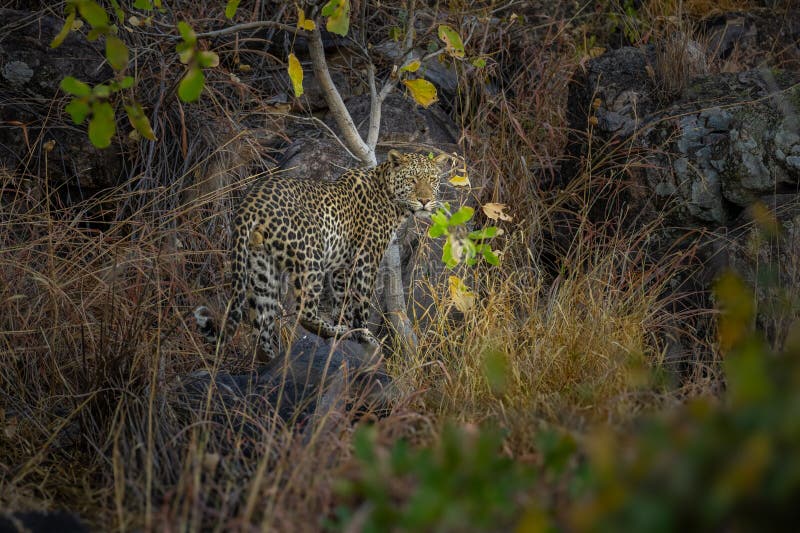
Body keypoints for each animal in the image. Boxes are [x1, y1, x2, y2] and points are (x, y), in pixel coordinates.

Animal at [194, 150, 444, 360]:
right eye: (412, 180)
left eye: (432, 180)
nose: (425, 200)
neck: (391, 200)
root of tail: (250, 202)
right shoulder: (366, 258)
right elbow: (362, 301)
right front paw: (364, 335)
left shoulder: (342, 267)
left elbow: (343, 301)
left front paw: (350, 330)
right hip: (310, 253)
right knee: (303, 311)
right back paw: (331, 332)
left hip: (262, 268)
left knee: (261, 325)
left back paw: (272, 360)